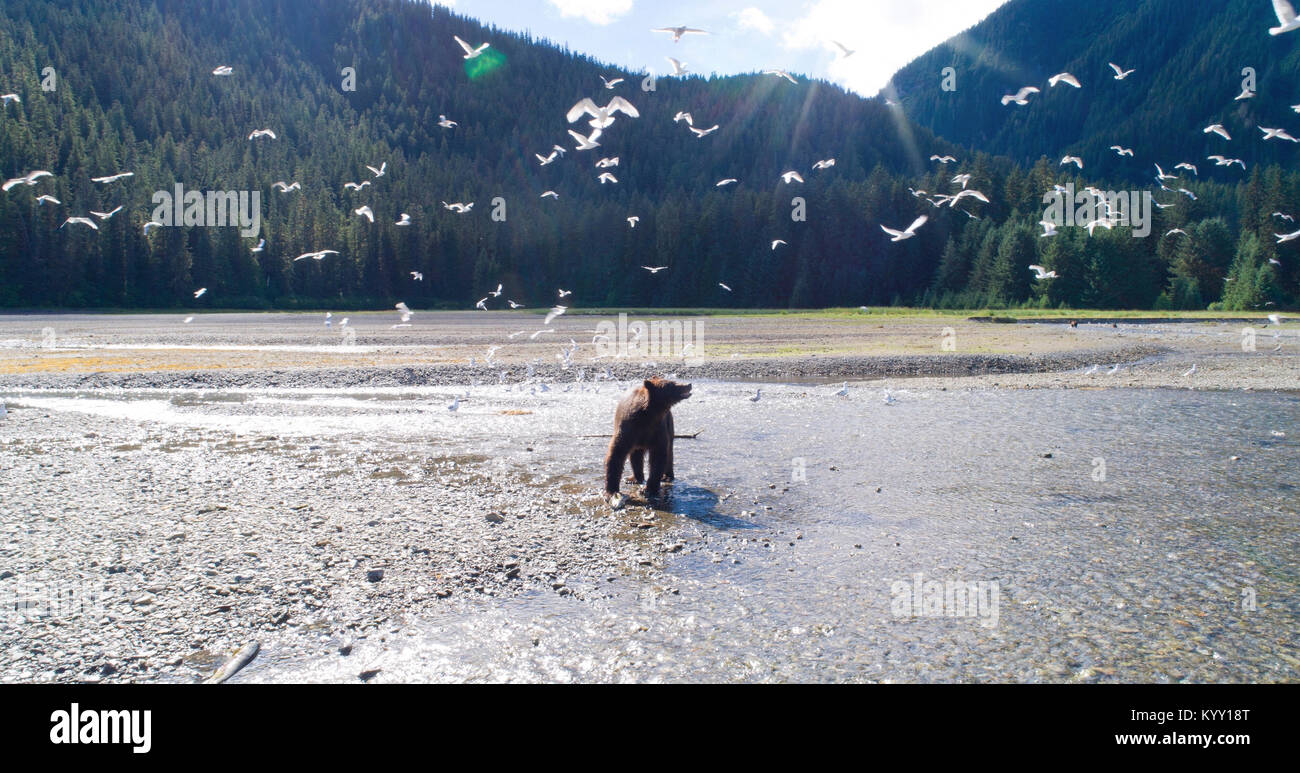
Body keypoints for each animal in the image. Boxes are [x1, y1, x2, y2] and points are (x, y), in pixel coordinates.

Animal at [604, 378, 692, 506]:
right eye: (672, 384)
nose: (689, 384)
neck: (648, 415)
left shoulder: (657, 429)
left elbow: (658, 456)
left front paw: (648, 489)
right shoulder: (629, 428)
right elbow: (616, 453)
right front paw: (612, 492)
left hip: (669, 425)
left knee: (669, 450)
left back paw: (667, 476)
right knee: (636, 455)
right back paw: (634, 478)